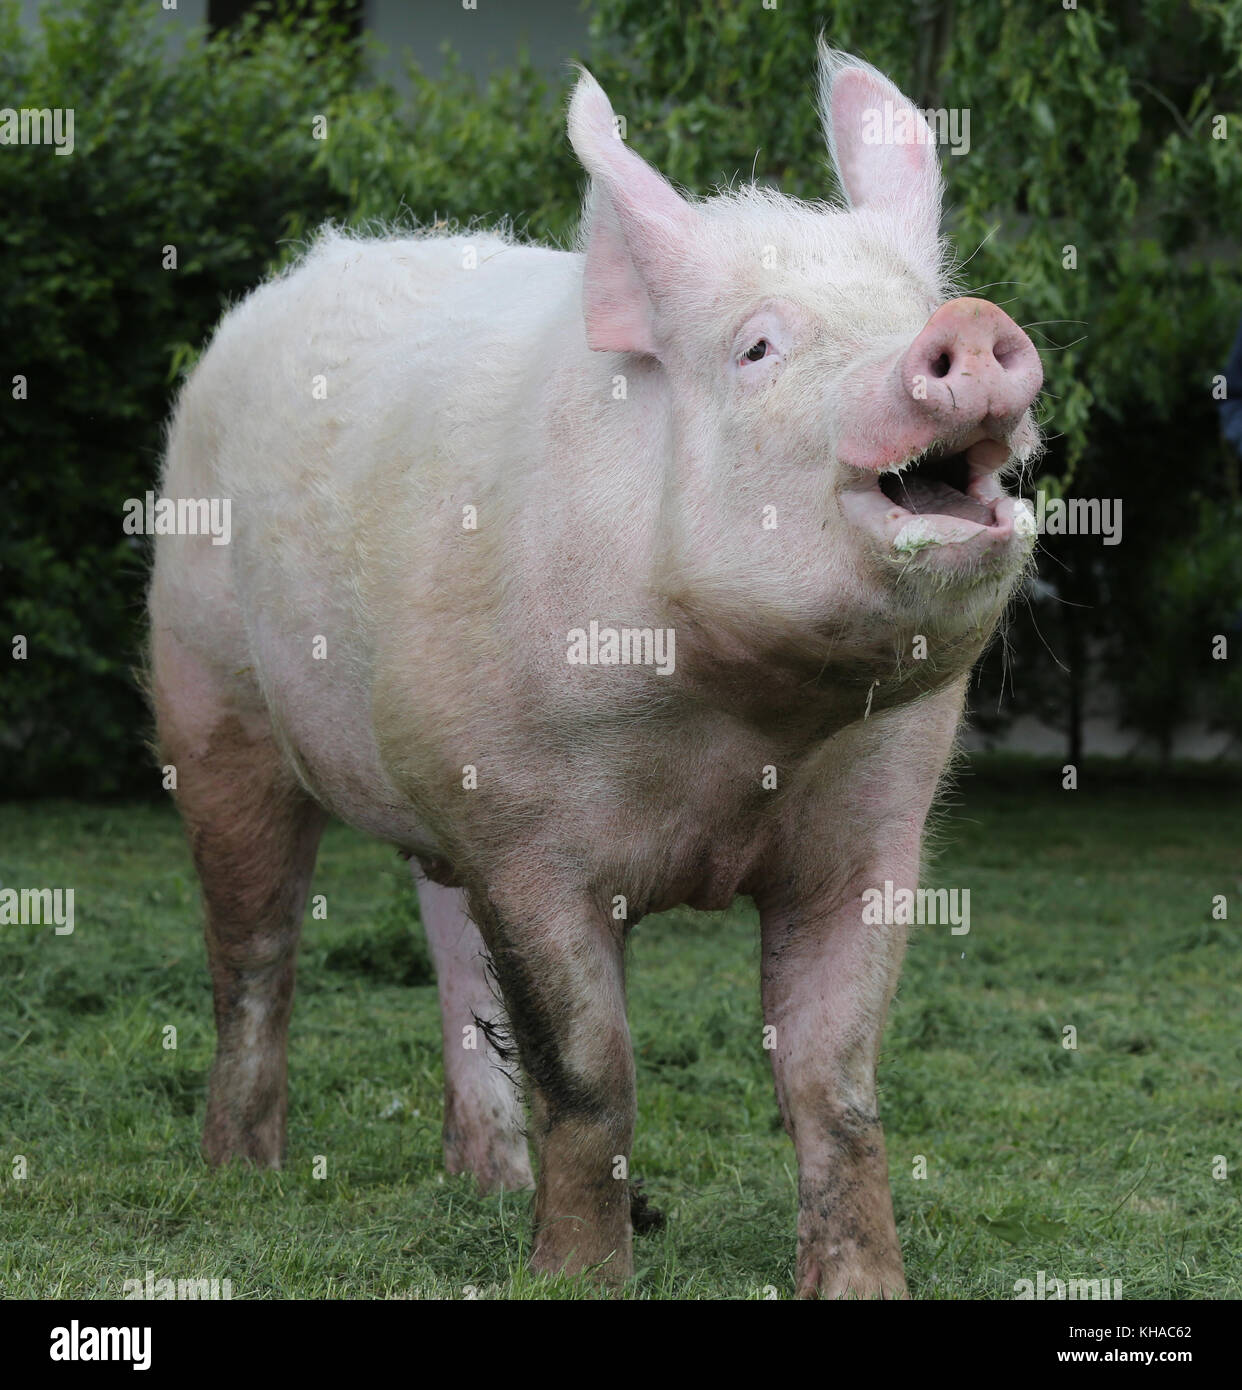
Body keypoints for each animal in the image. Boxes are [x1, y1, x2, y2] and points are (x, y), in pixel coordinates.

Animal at [147, 43, 1042, 1298]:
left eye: (912, 310)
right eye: (757, 347)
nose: (969, 321)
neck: (743, 733)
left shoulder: (875, 829)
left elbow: (836, 1082)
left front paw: (864, 1285)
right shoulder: (526, 830)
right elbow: (588, 1071)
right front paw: (577, 1274)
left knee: (448, 945)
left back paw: (485, 1182)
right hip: (207, 687)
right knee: (255, 945)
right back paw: (245, 1170)